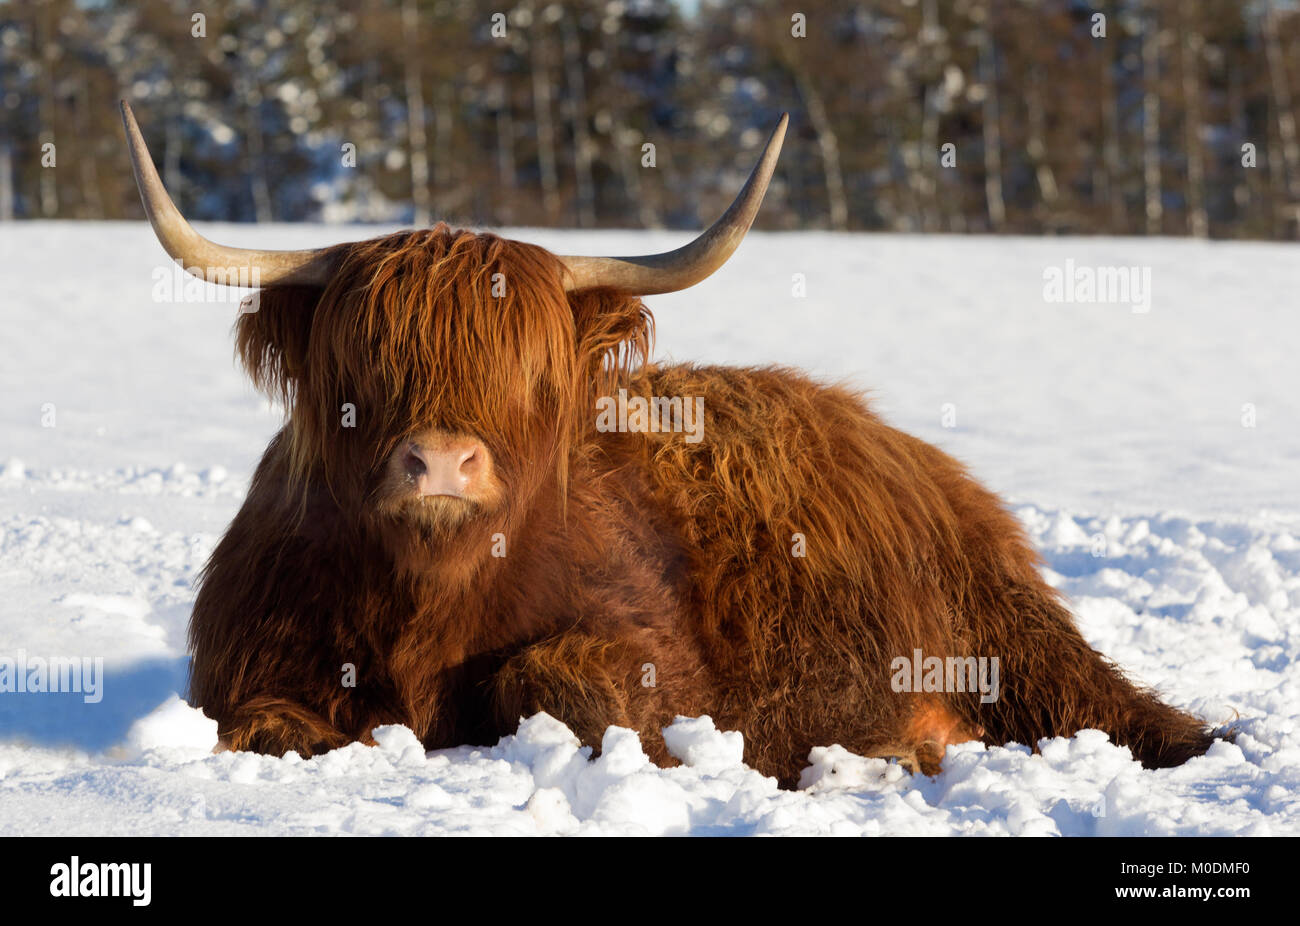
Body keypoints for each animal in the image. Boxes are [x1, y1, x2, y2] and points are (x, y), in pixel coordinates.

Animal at [121, 101, 1219, 787]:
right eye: (363, 360)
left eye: (531, 371)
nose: (440, 461)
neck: (427, 600)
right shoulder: (242, 666)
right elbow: (260, 724)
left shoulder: (665, 666)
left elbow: (551, 677)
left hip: (1006, 636)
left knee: (1105, 705)